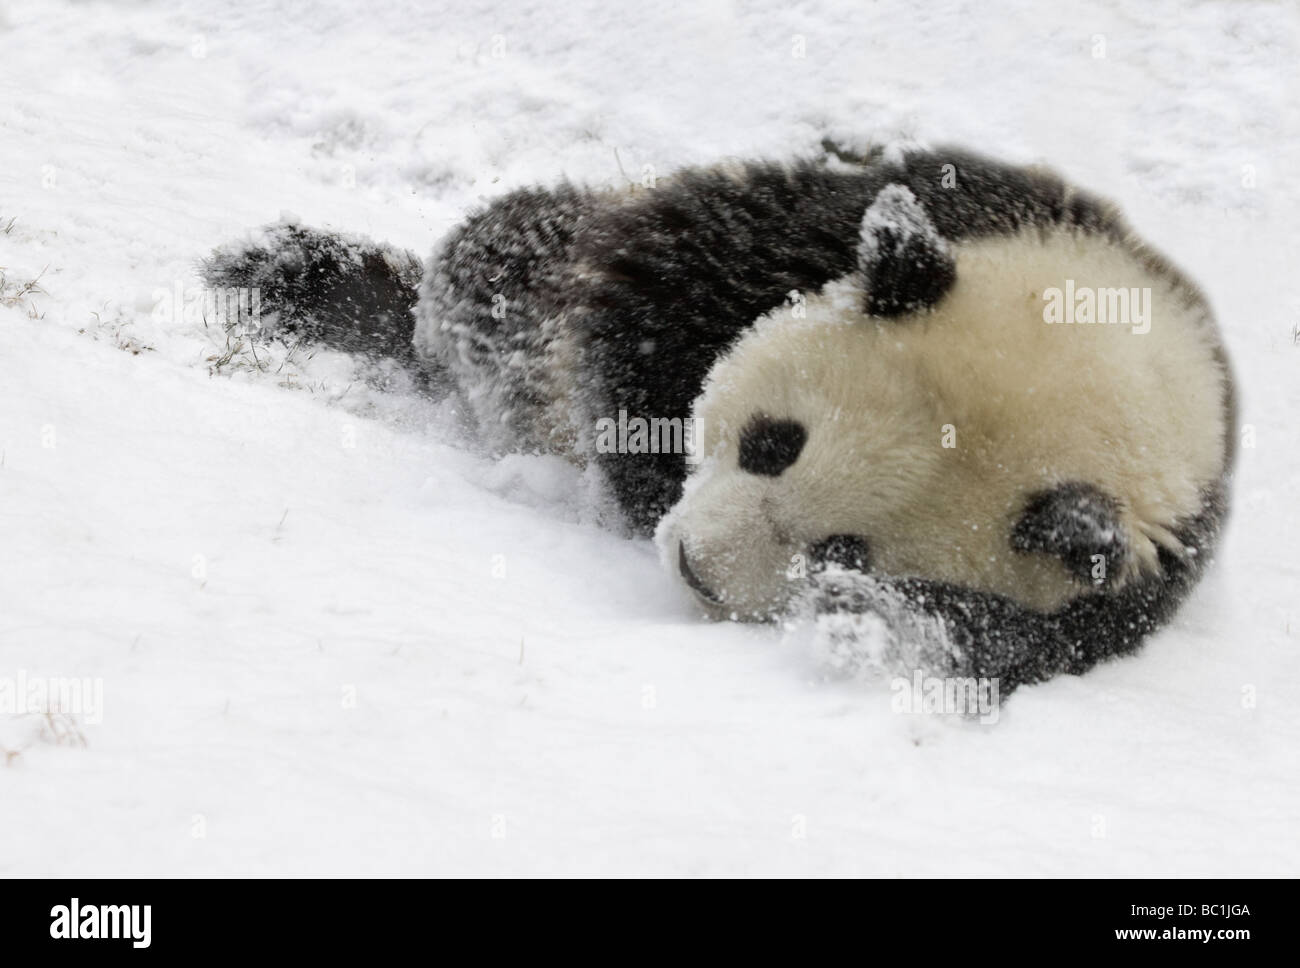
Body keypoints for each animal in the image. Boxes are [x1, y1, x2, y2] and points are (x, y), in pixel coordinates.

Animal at [202, 145, 1236, 696]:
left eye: (845, 550)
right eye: (774, 443)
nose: (696, 567)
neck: (1123, 338)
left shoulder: (1148, 568)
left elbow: (1014, 641)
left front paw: (864, 621)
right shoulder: (853, 221)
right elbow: (649, 313)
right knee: (503, 259)